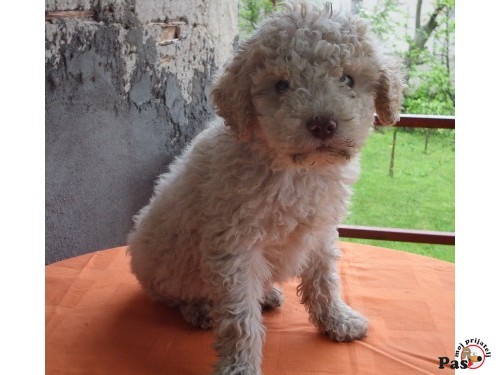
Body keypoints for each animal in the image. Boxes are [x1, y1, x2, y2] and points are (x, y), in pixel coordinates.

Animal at [128, 1, 402, 374]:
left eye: (347, 78)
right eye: (282, 85)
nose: (322, 124)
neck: (298, 172)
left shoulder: (319, 230)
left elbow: (324, 280)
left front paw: (337, 321)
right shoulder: (234, 247)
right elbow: (240, 317)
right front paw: (239, 366)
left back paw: (267, 294)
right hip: (165, 267)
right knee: (178, 296)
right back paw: (201, 309)